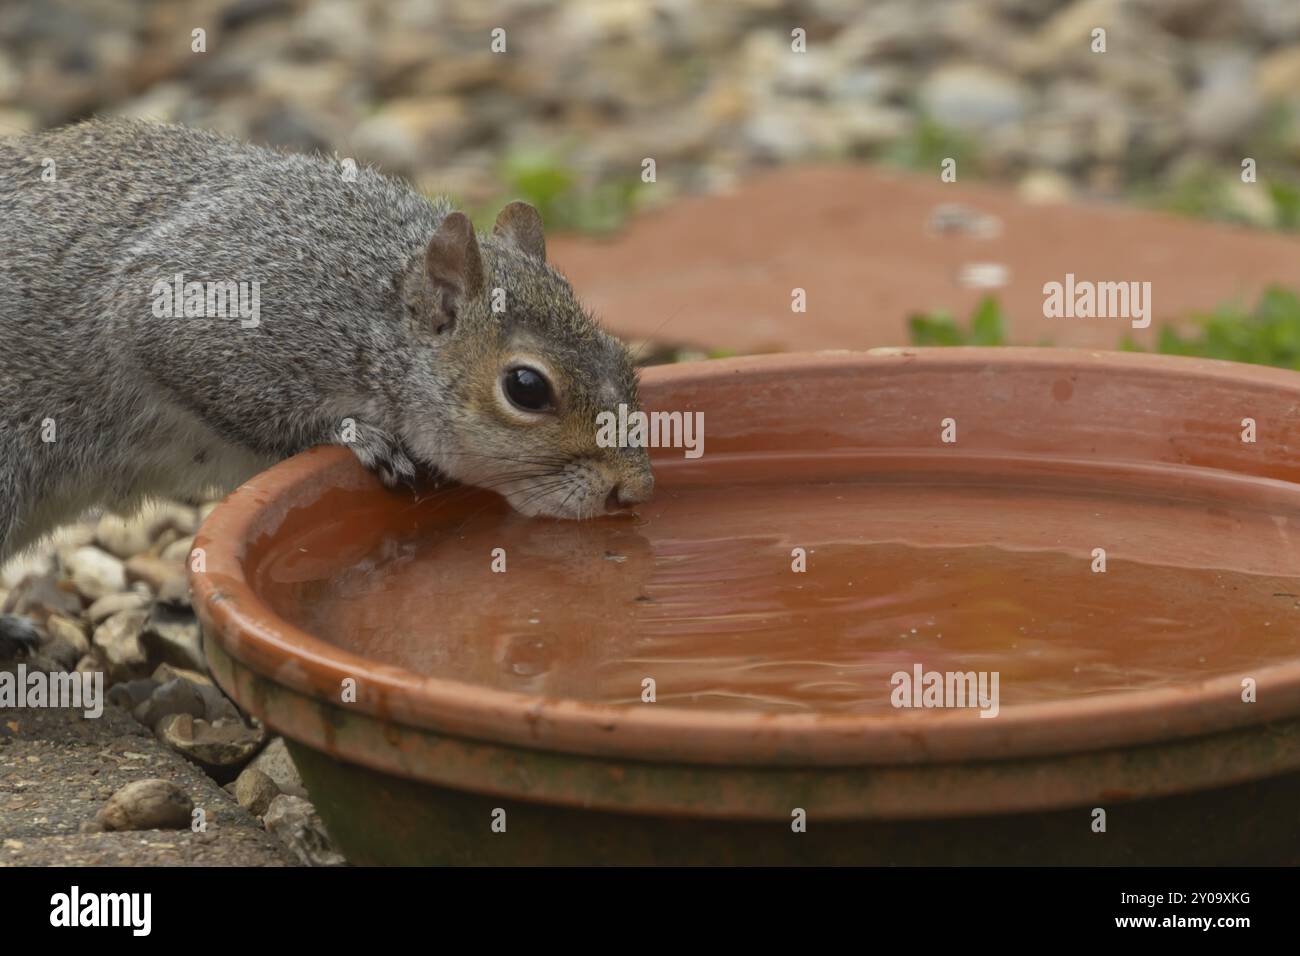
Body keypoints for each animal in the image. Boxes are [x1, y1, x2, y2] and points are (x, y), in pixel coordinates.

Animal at [0, 119, 654, 655]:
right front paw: (360, 436)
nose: (634, 489)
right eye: (526, 387)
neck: (372, 309)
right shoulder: (199, 315)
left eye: (624, 357)